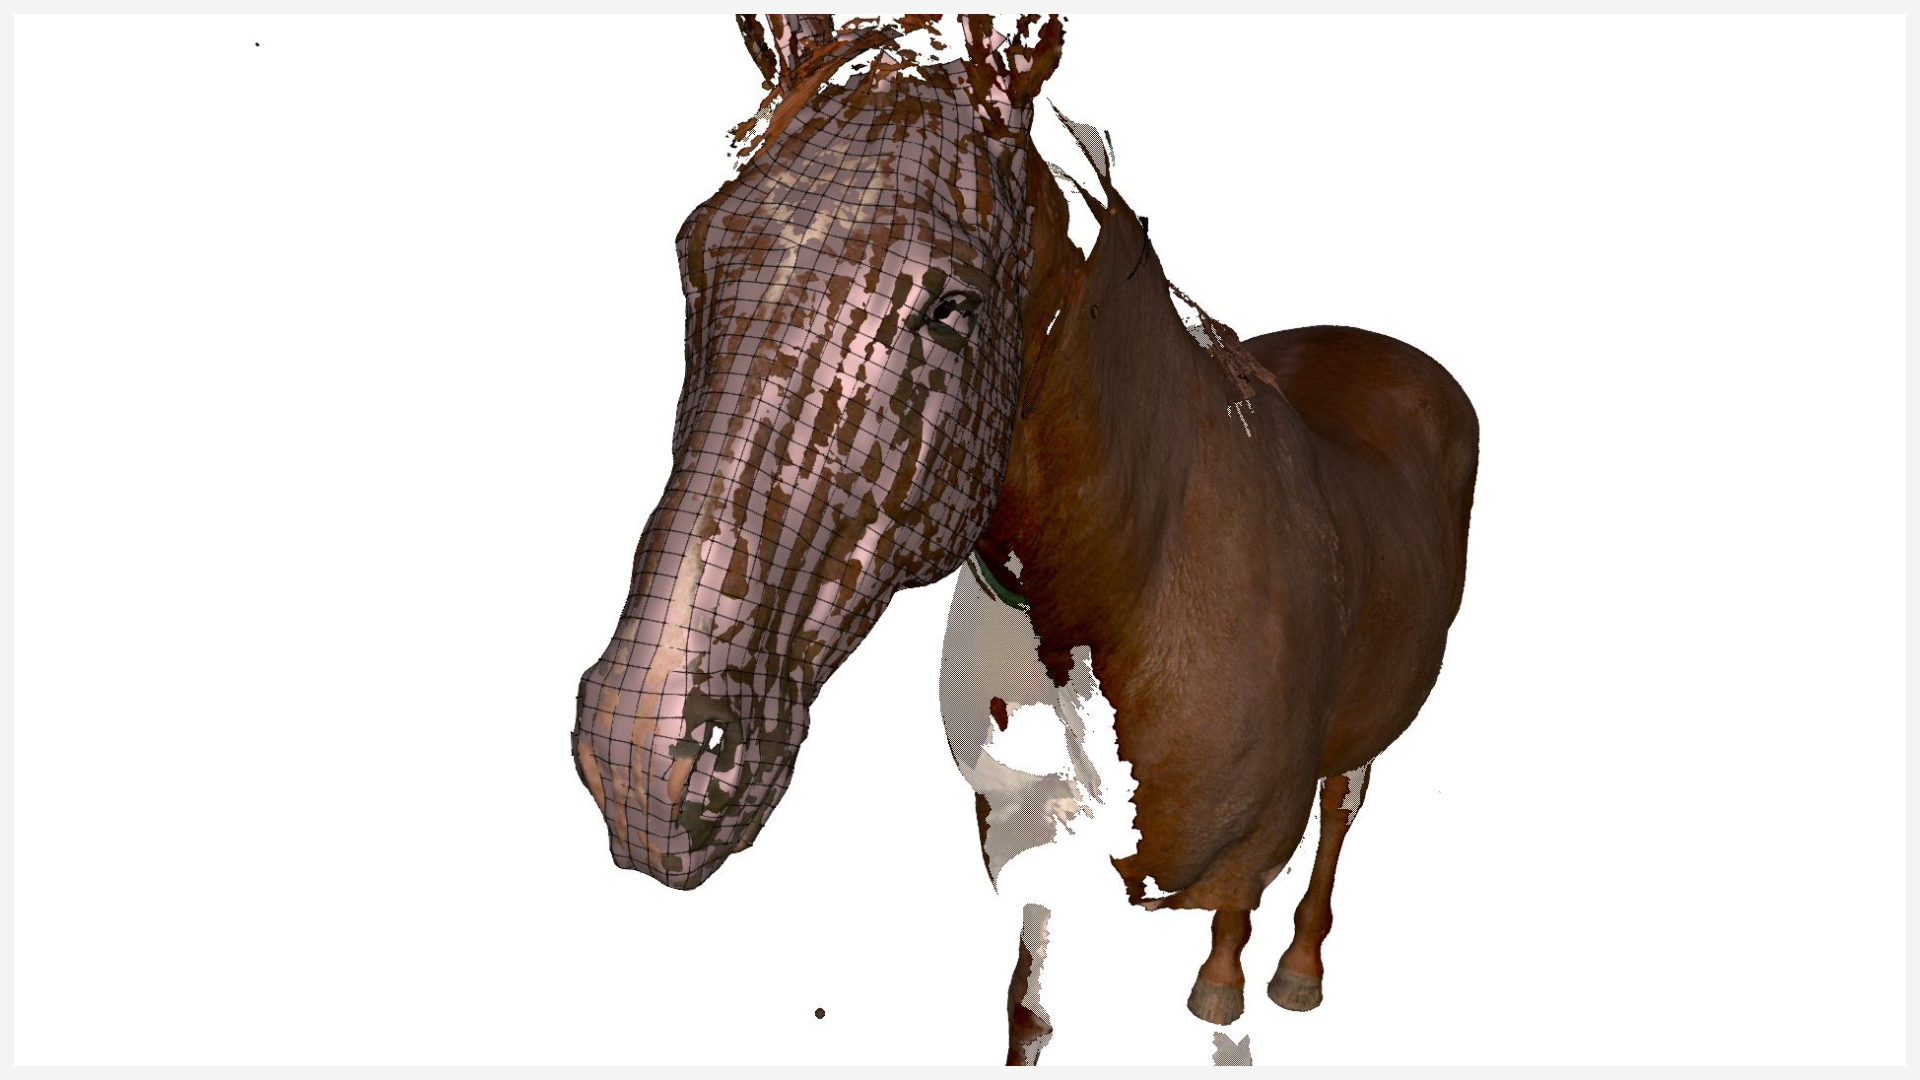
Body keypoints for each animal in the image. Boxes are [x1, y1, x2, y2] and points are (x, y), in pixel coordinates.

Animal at [571, 14, 1477, 1065]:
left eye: (952, 304)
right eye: (696, 251)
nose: (643, 759)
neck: (1116, 610)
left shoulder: (1244, 864)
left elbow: (1226, 955)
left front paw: (1232, 991)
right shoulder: (1023, 854)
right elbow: (1027, 1006)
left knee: (1344, 804)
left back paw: (1299, 970)